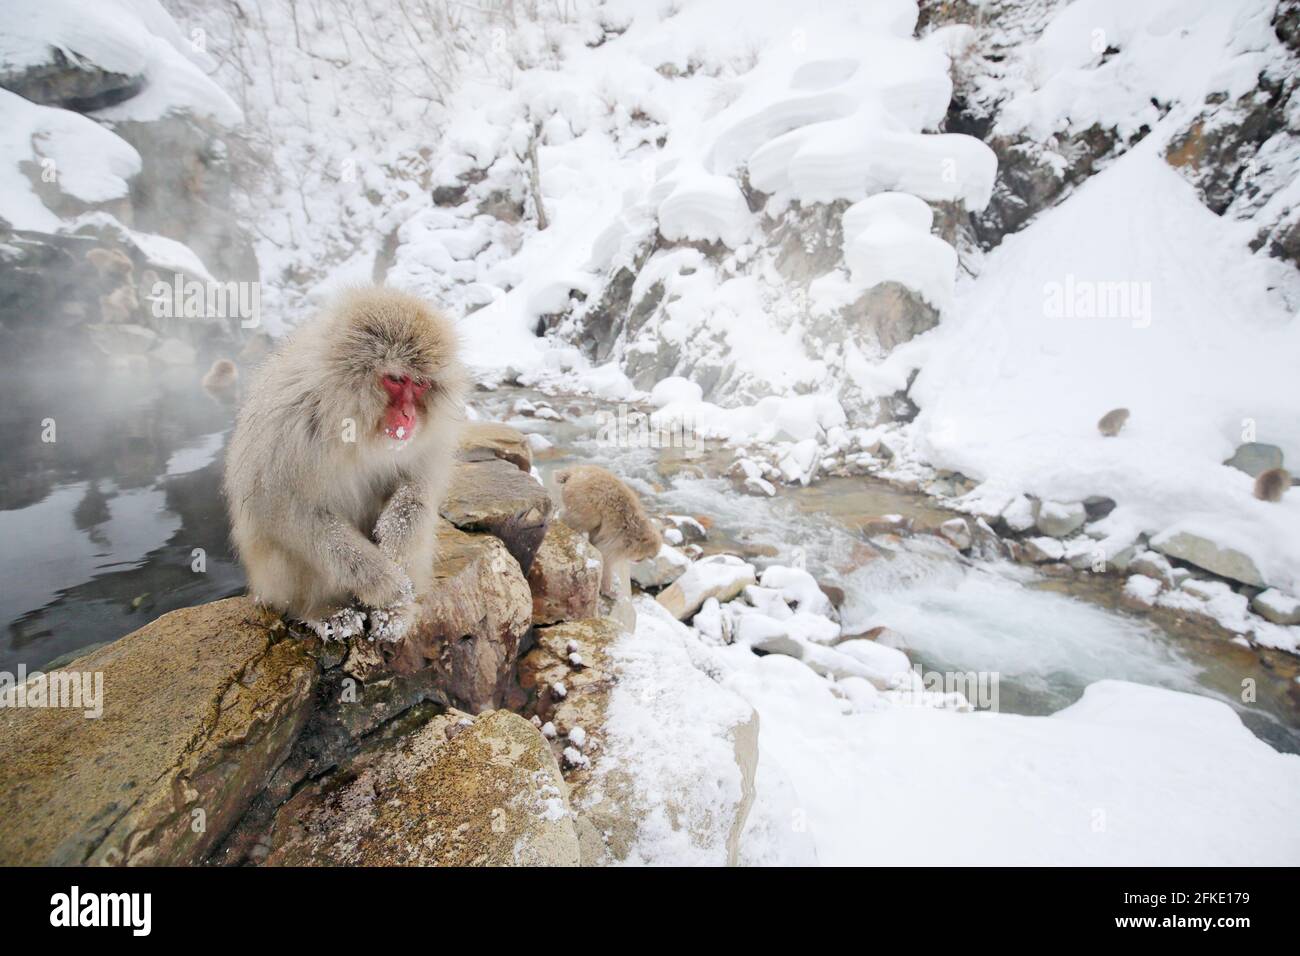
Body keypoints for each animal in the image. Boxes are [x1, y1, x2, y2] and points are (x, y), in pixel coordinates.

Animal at [223, 286, 467, 641]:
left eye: (420, 384)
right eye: (396, 379)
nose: (409, 415)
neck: (356, 427)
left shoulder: (427, 438)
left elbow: (418, 488)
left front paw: (395, 547)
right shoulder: (288, 428)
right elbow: (289, 511)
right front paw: (385, 582)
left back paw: (394, 614)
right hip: (272, 579)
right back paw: (325, 610)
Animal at [555, 464, 662, 598]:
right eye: (646, 555)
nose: (639, 560)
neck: (634, 535)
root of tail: (575, 471)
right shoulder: (618, 544)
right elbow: (605, 558)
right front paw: (608, 591)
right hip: (582, 497)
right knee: (589, 518)